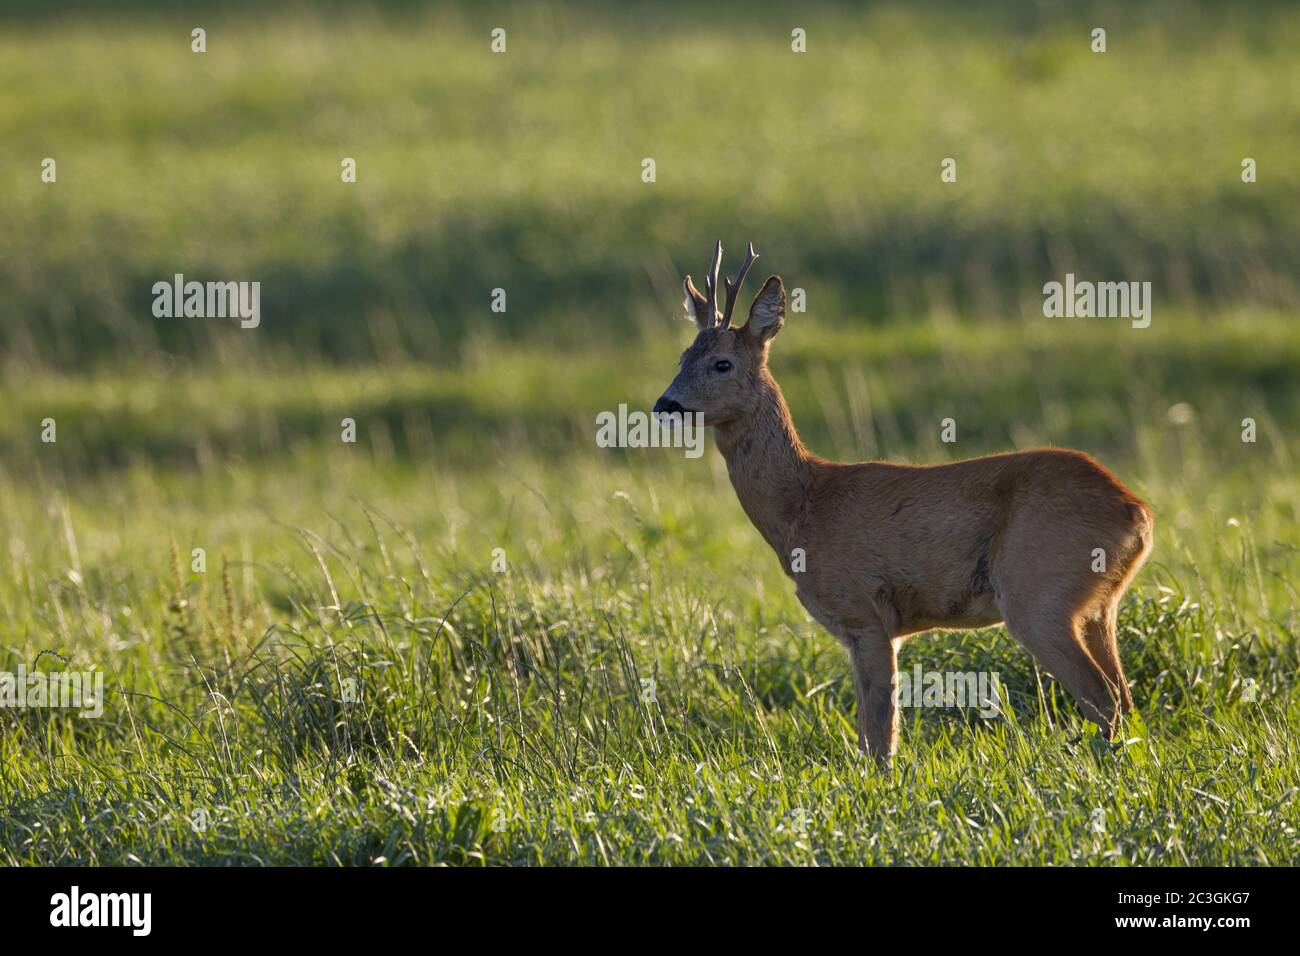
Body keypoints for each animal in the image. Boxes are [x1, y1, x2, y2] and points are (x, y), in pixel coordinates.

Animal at [653, 241, 1154, 766]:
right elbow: (869, 730)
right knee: (1124, 696)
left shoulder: (865, 614)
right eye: (684, 355)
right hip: (1100, 606)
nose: (665, 406)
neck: (802, 507)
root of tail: (1136, 512)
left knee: (1101, 697)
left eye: (722, 363)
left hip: (1037, 593)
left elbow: (879, 732)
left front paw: (880, 780)